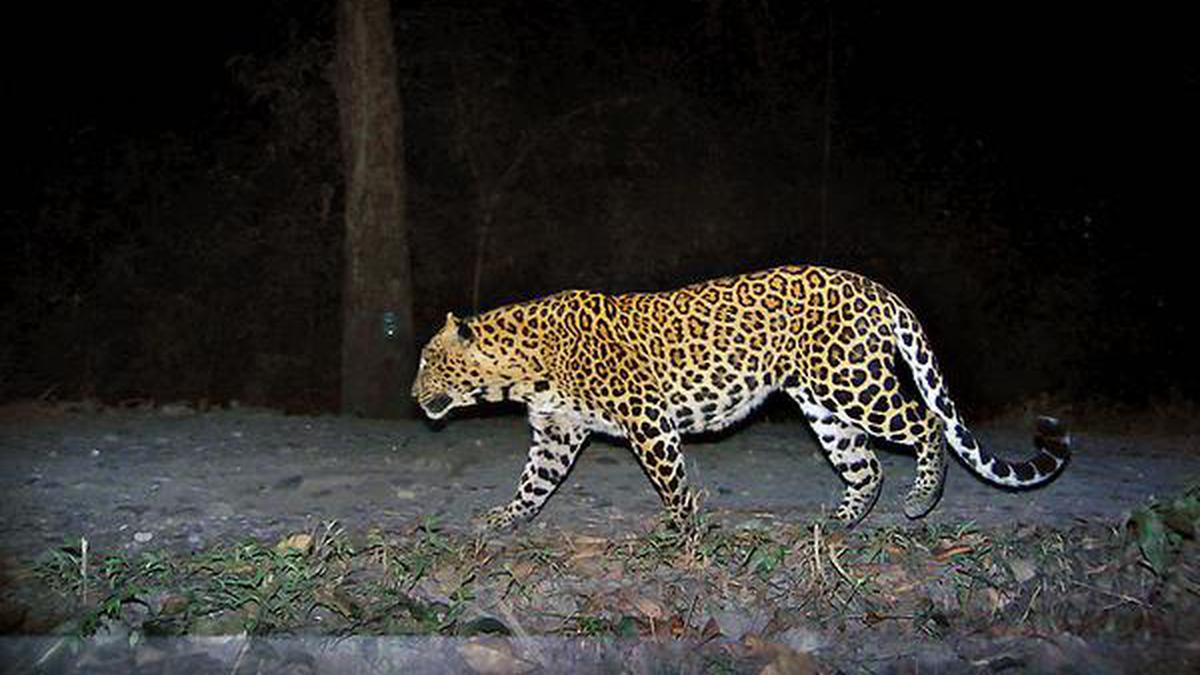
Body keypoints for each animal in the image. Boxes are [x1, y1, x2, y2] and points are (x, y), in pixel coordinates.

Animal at [411, 265, 1071, 537]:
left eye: (427, 362)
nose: (413, 395)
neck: (523, 368)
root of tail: (877, 288)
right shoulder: (557, 430)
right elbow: (535, 482)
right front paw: (506, 518)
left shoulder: (648, 421)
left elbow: (672, 482)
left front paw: (680, 529)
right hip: (820, 403)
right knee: (866, 464)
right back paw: (840, 521)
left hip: (853, 384)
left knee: (927, 425)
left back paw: (921, 501)